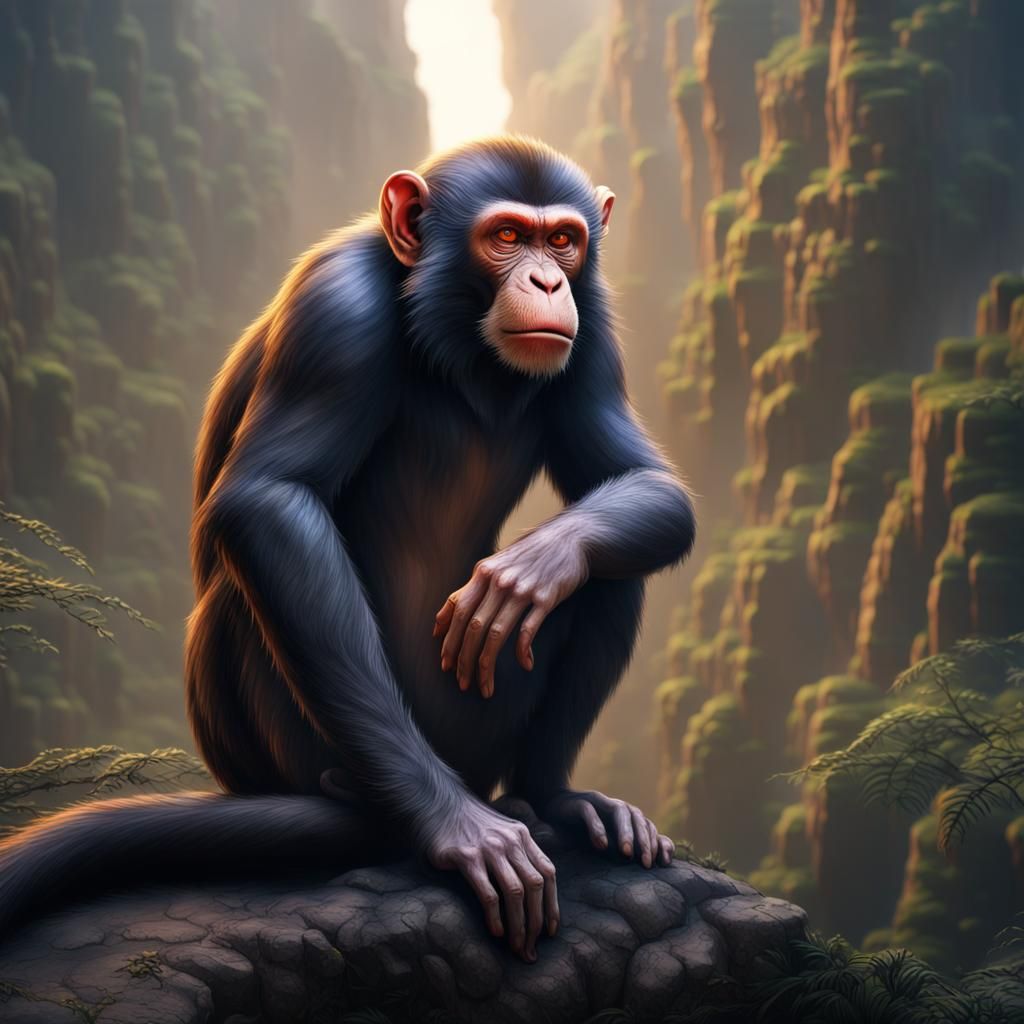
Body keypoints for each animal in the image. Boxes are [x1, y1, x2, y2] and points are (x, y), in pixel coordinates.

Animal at [0, 136, 695, 963]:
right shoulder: (336, 311)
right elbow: (271, 501)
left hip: (479, 738)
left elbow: (644, 482)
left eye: (563, 239)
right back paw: (373, 800)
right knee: (250, 588)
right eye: (505, 236)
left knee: (604, 570)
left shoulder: (594, 330)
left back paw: (555, 793)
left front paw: (535, 563)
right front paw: (454, 829)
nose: (548, 280)